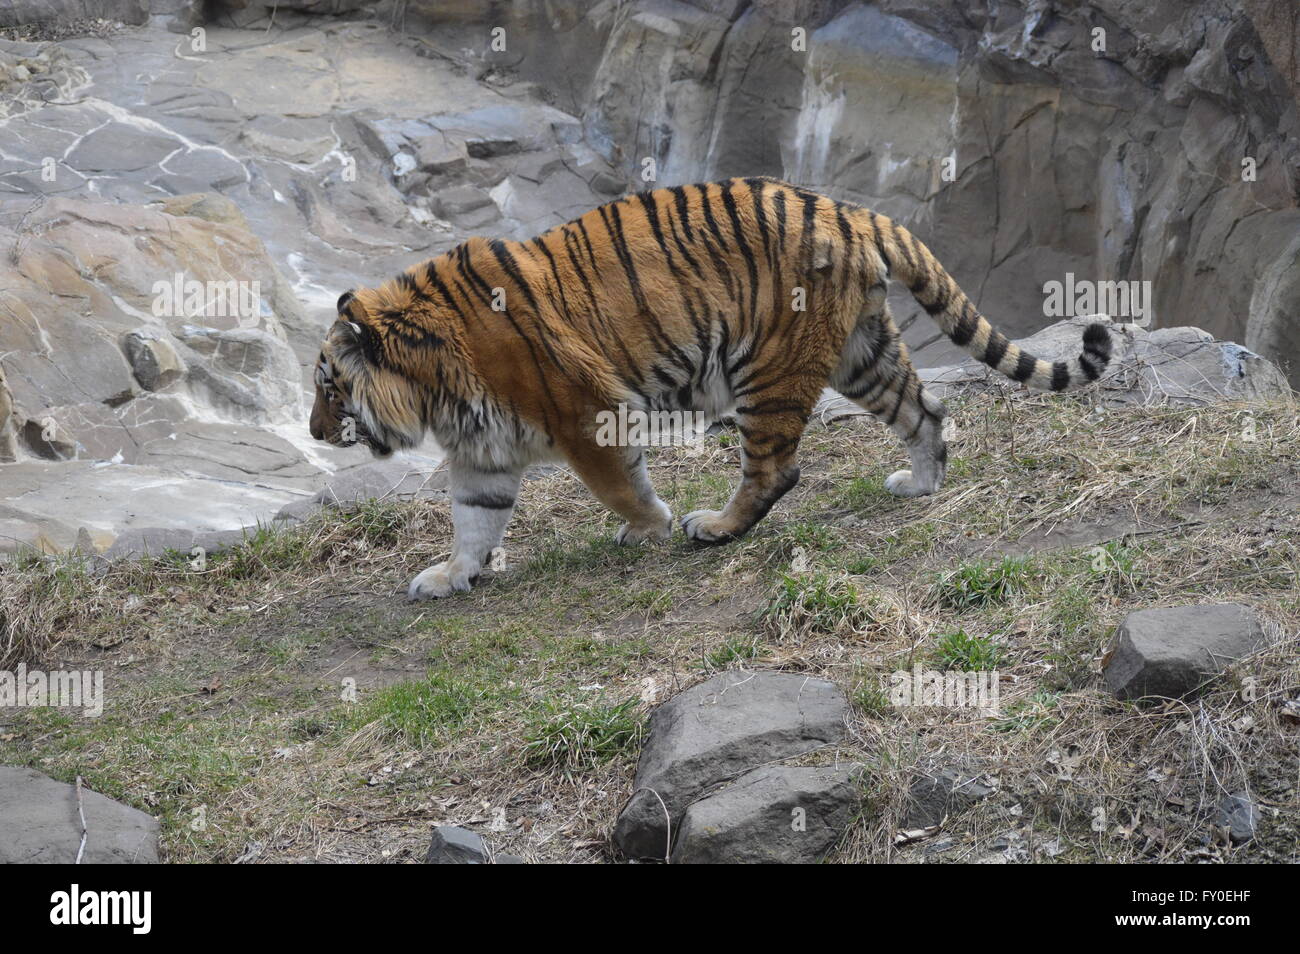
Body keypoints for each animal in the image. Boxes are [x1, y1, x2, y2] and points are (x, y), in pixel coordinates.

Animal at [309, 177, 1111, 601]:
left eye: (329, 388)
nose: (317, 432)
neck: (433, 380)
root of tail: (849, 208)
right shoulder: (485, 450)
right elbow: (475, 520)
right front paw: (450, 576)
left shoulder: (586, 412)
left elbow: (618, 485)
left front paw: (649, 526)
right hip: (863, 354)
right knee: (927, 410)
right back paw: (920, 485)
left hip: (769, 370)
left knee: (777, 470)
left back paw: (715, 527)